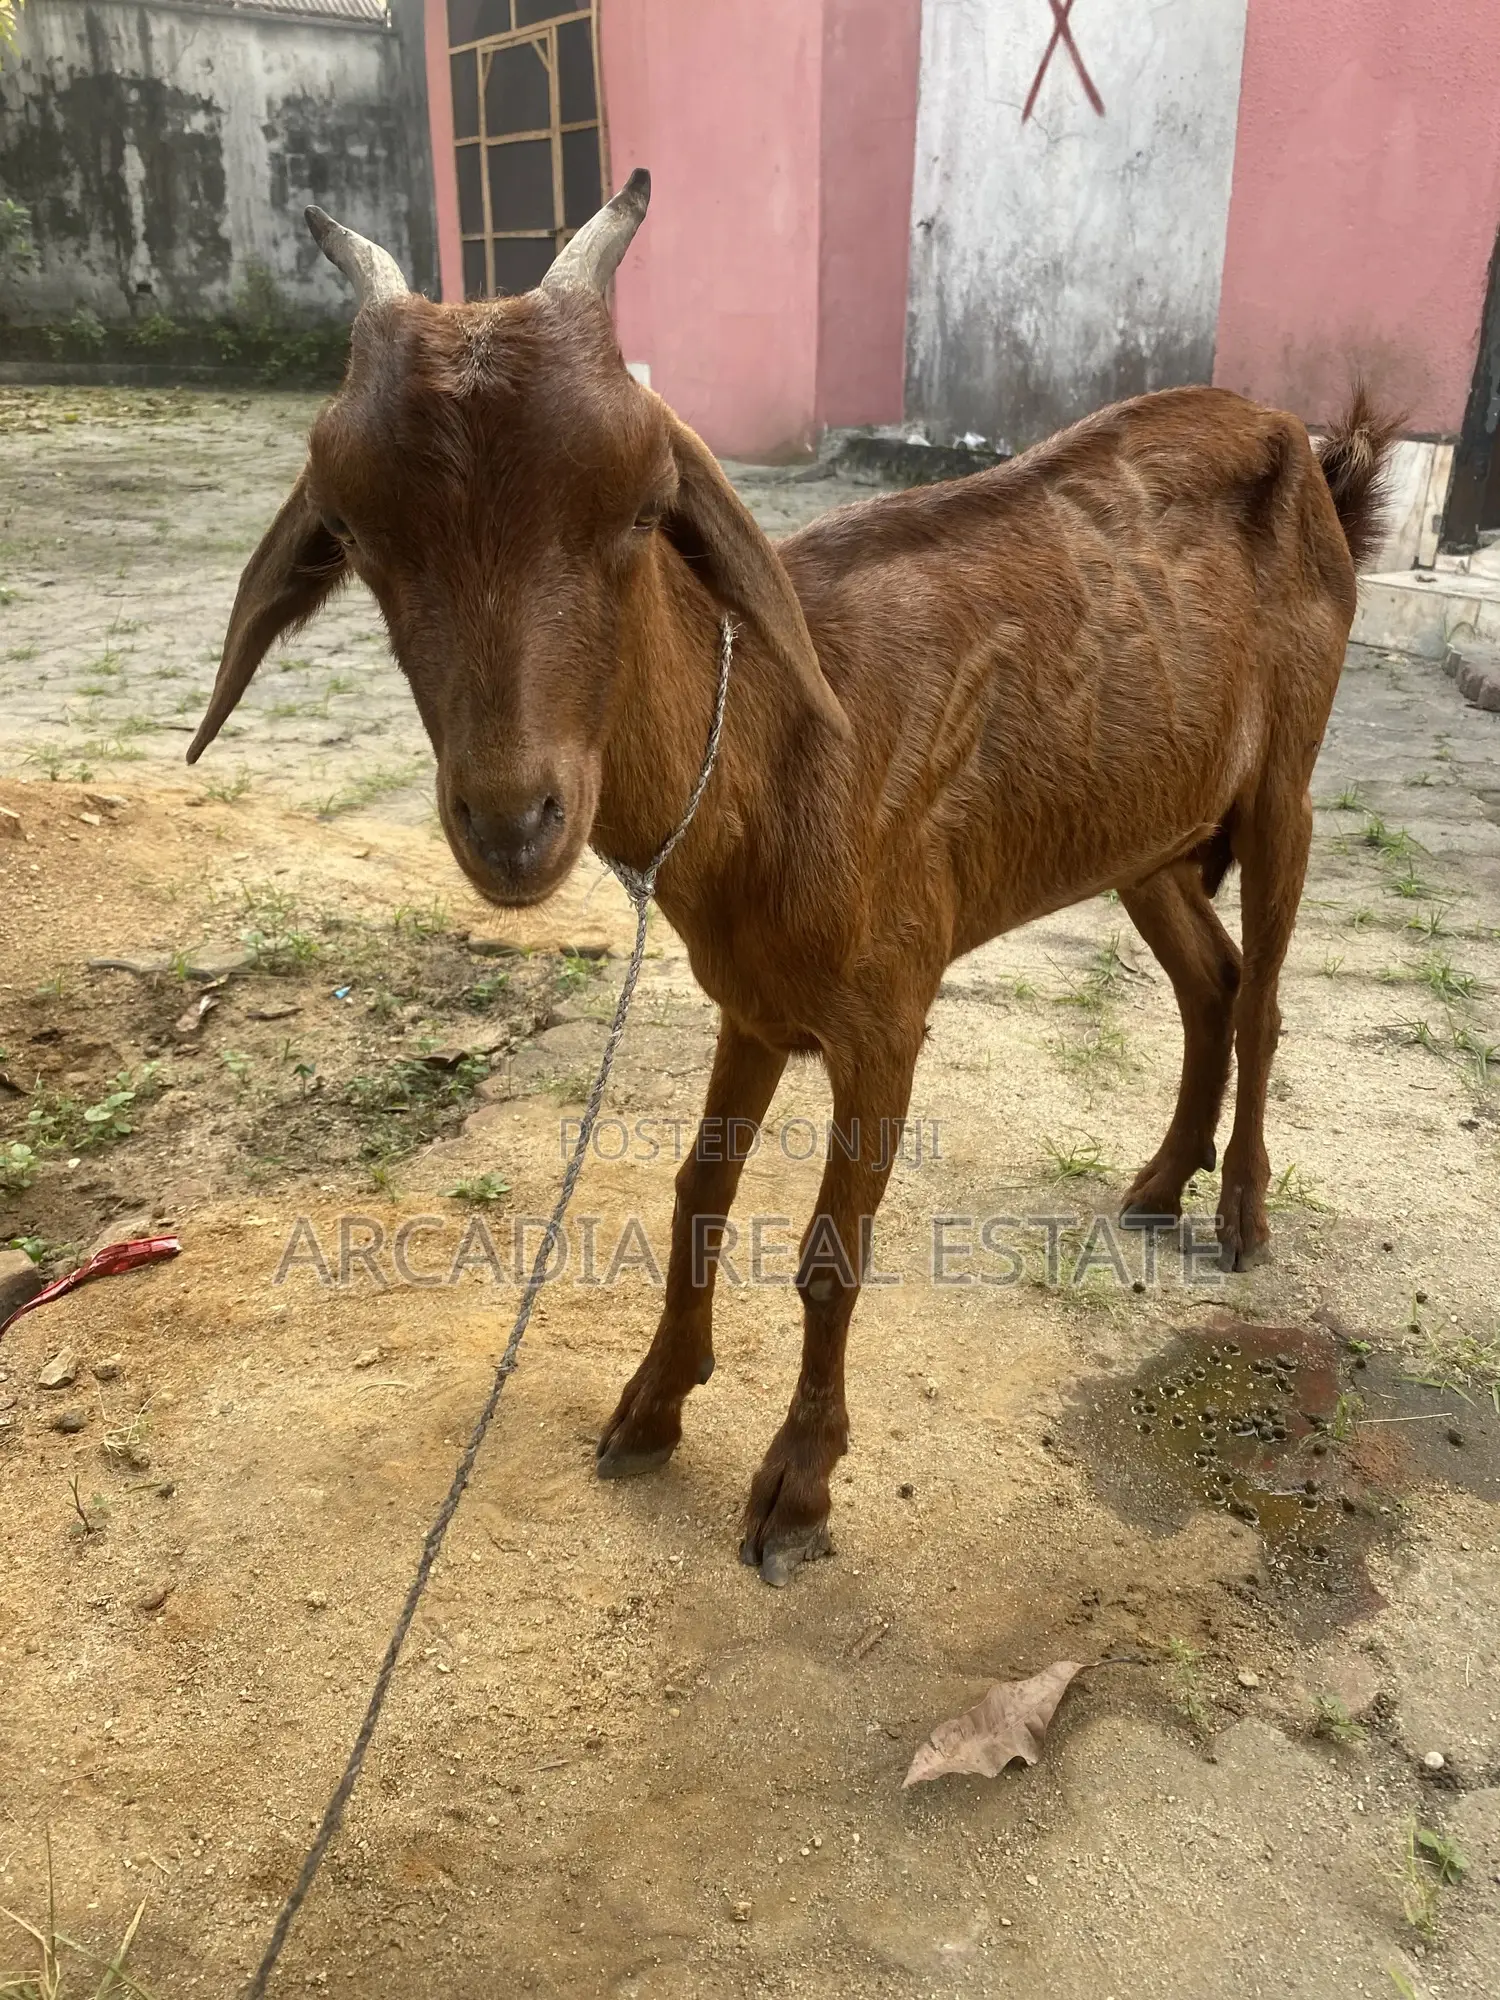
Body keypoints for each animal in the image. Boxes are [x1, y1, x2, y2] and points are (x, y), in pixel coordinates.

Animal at [189, 174, 1396, 1585]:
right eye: (354, 531)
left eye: (644, 506)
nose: (513, 820)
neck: (773, 747)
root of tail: (1305, 448)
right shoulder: (755, 1002)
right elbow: (696, 1191)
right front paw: (653, 1402)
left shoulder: (887, 1011)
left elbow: (832, 1251)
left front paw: (798, 1487)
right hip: (1145, 829)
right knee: (1209, 977)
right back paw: (1159, 1184)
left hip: (1285, 782)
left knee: (1261, 994)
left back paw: (1241, 1212)